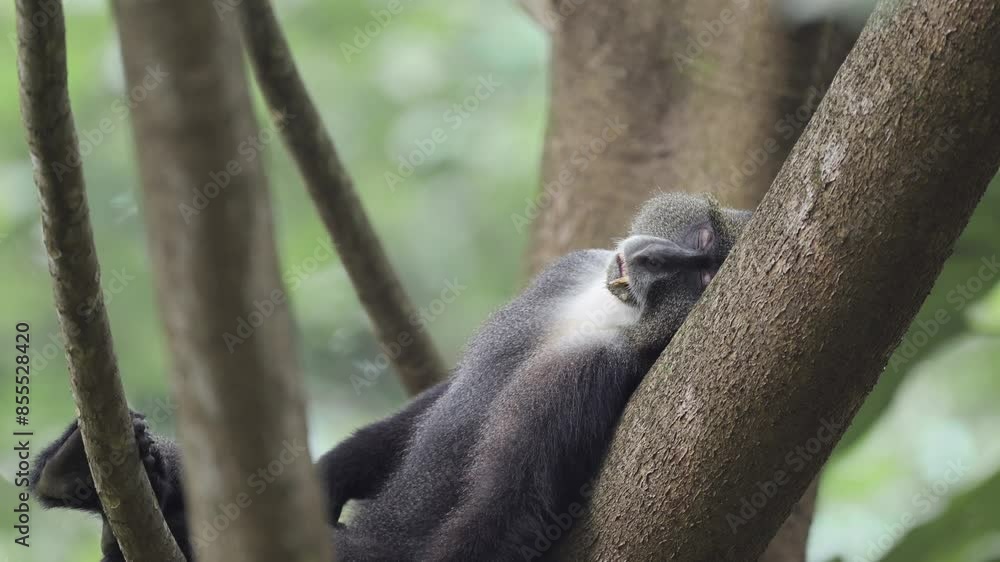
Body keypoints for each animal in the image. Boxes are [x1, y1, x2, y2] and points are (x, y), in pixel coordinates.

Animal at [29, 192, 752, 561]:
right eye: (689, 242)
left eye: (697, 274)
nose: (644, 260)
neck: (603, 317)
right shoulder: (565, 276)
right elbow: (427, 406)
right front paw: (325, 478)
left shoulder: (589, 379)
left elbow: (509, 507)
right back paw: (84, 471)